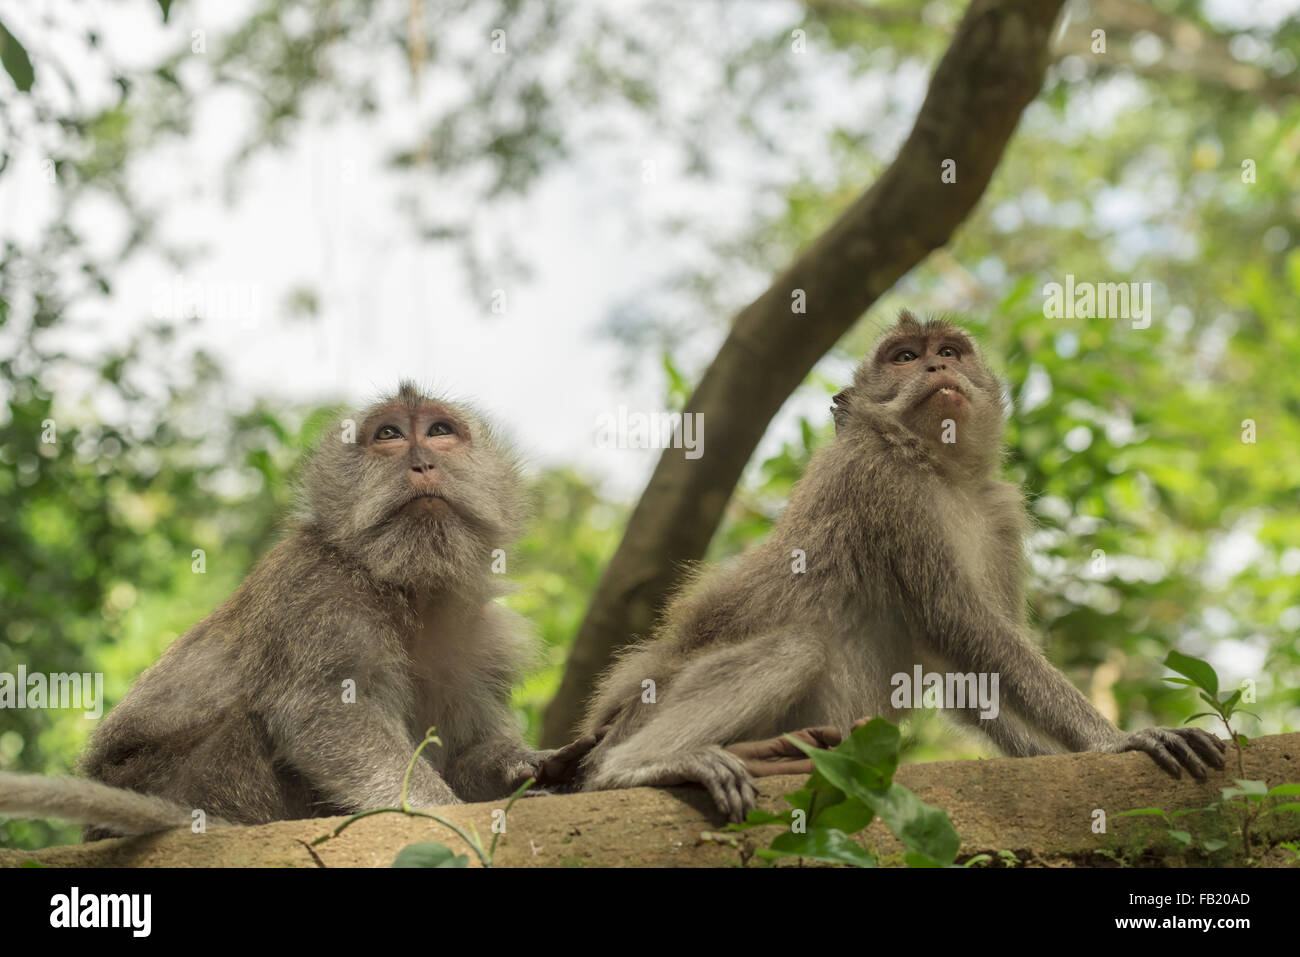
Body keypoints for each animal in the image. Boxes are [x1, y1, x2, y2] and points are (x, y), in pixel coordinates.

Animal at [0, 383, 588, 840]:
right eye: (389, 436)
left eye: (441, 430)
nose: (422, 461)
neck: (406, 586)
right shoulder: (316, 592)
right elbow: (323, 712)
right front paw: (446, 814)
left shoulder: (486, 641)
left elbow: (467, 752)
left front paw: (529, 767)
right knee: (248, 722)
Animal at [577, 312, 1226, 822]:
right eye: (905, 357)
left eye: (949, 352)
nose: (936, 368)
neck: (941, 471)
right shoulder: (886, 485)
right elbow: (963, 625)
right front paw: (1120, 741)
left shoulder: (1000, 515)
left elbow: (967, 677)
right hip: (640, 716)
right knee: (794, 648)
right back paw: (641, 766)